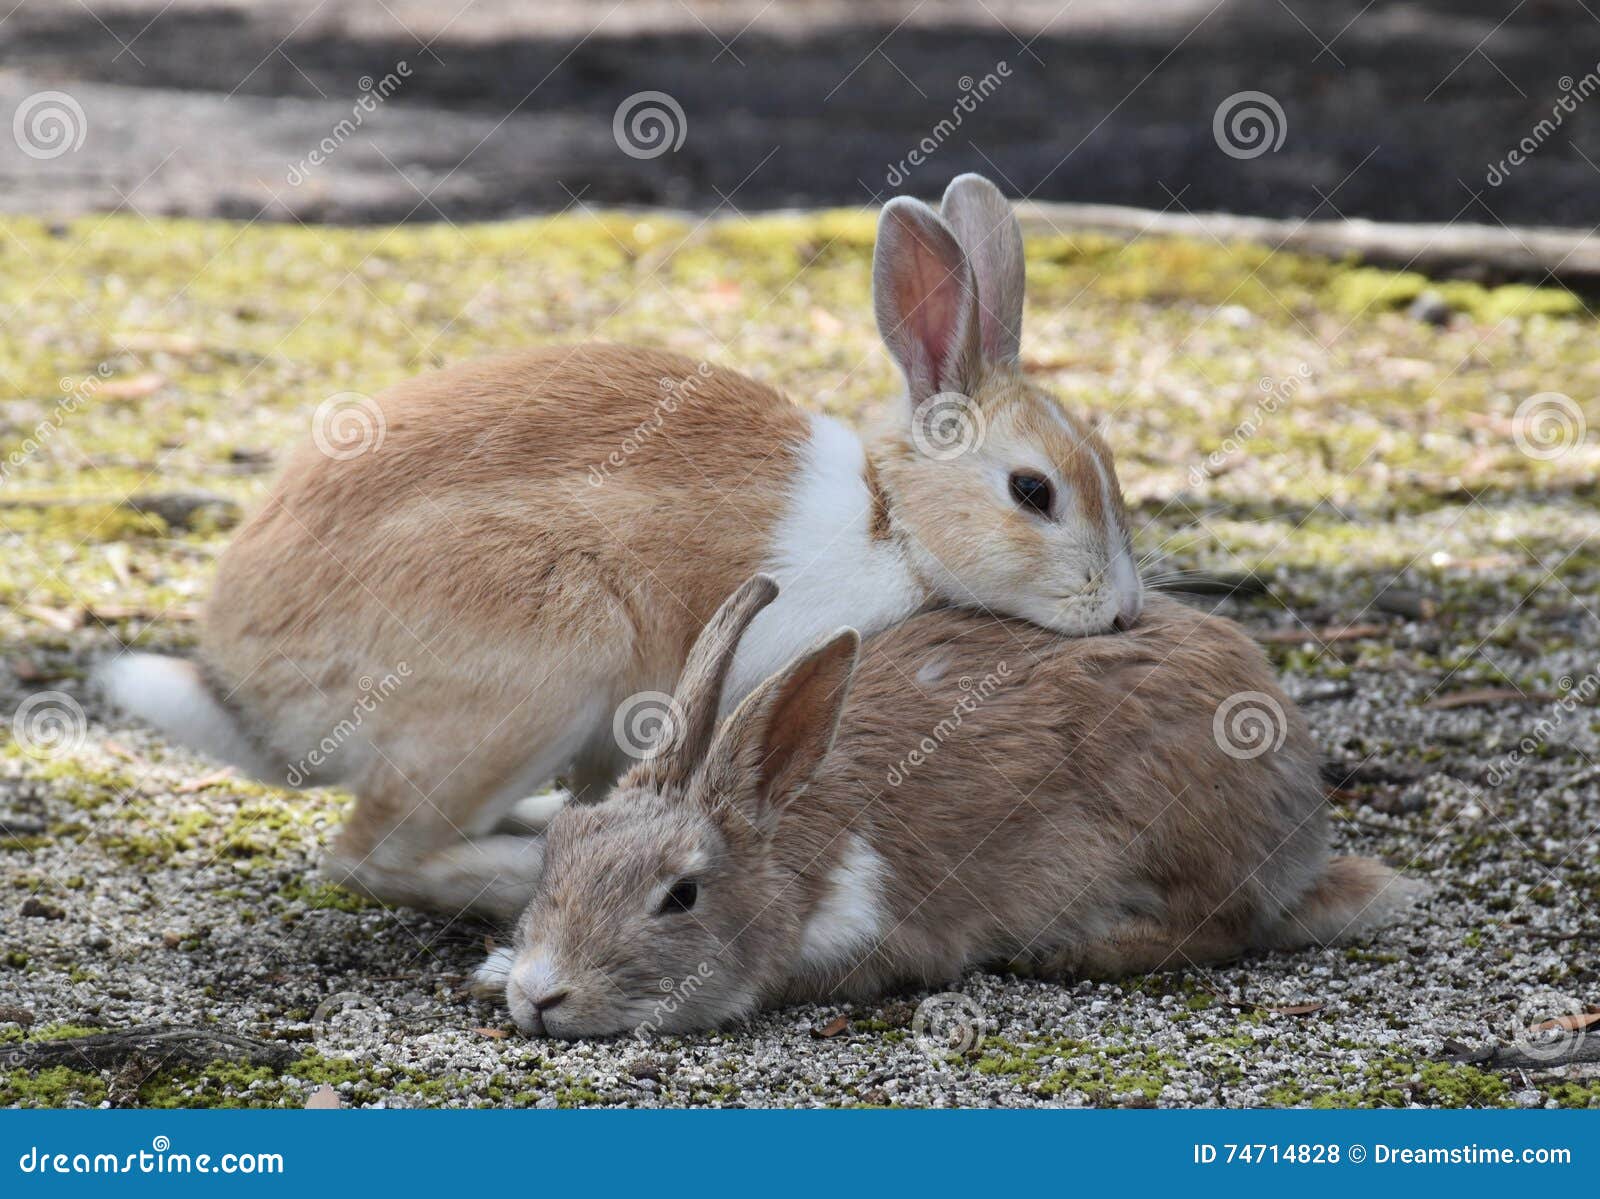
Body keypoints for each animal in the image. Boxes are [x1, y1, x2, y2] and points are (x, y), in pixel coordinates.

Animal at [96, 174, 1143, 920]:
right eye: (1034, 492)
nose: (1124, 609)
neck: (896, 521)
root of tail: (242, 692)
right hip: (538, 666)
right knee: (373, 857)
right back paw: (522, 870)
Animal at [472, 575, 1417, 1039]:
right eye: (558, 852)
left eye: (681, 895)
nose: (542, 997)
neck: (789, 851)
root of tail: (1300, 833)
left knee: (1229, 926)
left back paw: (1076, 952)